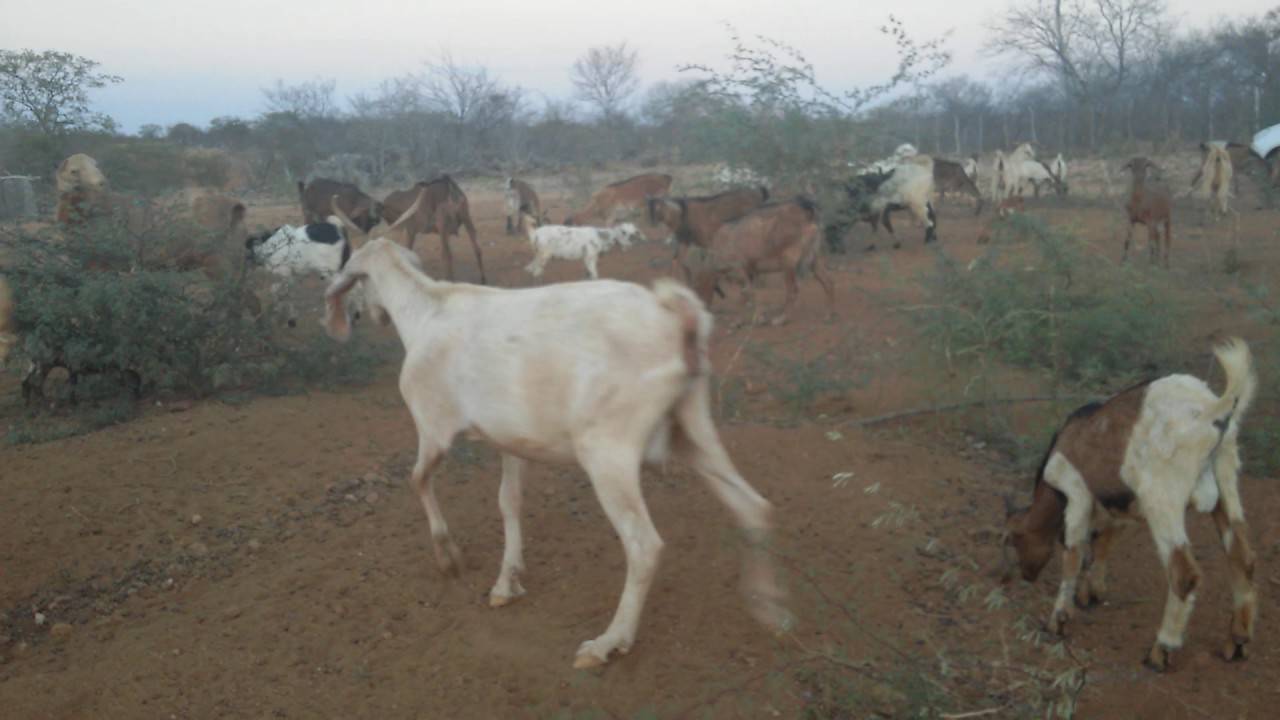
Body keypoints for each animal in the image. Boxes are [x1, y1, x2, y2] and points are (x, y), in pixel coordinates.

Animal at [322, 236, 790, 669]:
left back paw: (607, 643)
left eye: (359, 283)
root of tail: (676, 314)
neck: (428, 310)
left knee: (644, 546)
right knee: (754, 506)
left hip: (607, 450)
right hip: (692, 427)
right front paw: (507, 582)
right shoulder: (509, 439)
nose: (369, 315)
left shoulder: (433, 426)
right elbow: (508, 502)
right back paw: (769, 606)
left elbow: (417, 479)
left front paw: (449, 558)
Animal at [693, 196, 835, 326]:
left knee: (793, 288)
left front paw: (739, 321)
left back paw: (781, 318)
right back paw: (828, 316)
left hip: (788, 260)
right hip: (815, 259)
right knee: (827, 282)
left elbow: (744, 294)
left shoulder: (738, 269)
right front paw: (757, 317)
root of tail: (806, 212)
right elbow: (751, 293)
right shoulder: (751, 272)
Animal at [1005, 338, 1257, 671]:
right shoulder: (1119, 506)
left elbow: (1073, 553)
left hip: (1162, 495)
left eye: (1013, 538)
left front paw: (1058, 620)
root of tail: (1211, 410)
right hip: (1226, 478)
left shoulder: (1076, 492)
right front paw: (1092, 592)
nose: (1024, 575)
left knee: (1185, 573)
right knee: (1242, 557)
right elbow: (1104, 544)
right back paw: (1238, 640)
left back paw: (1162, 649)